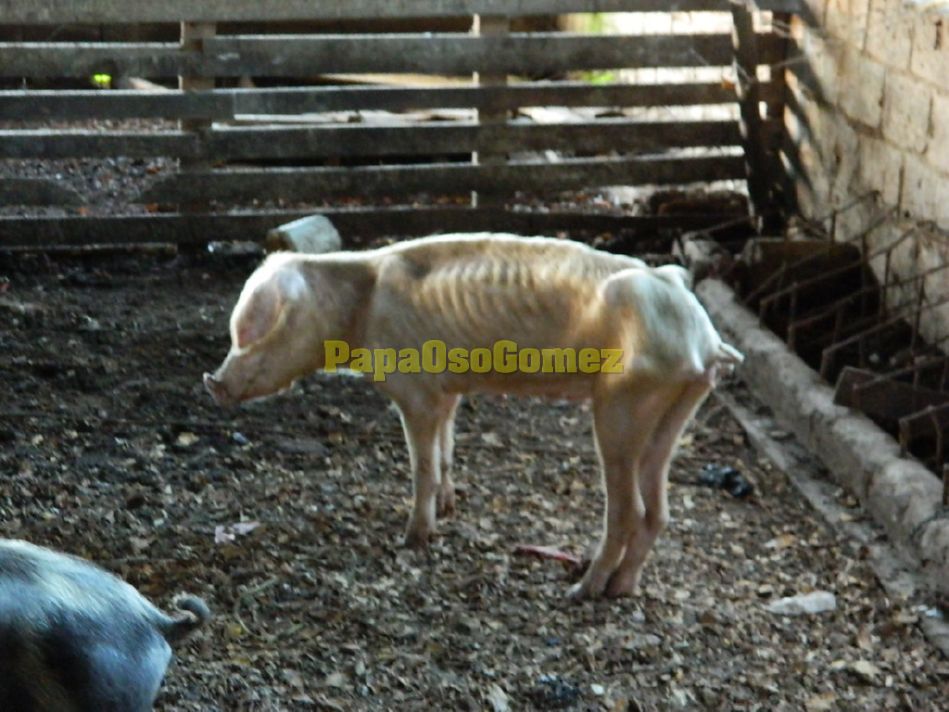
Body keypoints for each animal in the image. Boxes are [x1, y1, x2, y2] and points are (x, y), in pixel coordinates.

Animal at [204, 233, 743, 599]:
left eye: (257, 329)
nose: (214, 382)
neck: (358, 313)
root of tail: (706, 339)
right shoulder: (447, 392)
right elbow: (446, 448)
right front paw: (448, 508)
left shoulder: (416, 390)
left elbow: (421, 464)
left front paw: (412, 539)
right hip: (677, 405)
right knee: (658, 511)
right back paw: (620, 589)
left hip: (624, 401)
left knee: (628, 510)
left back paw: (580, 591)